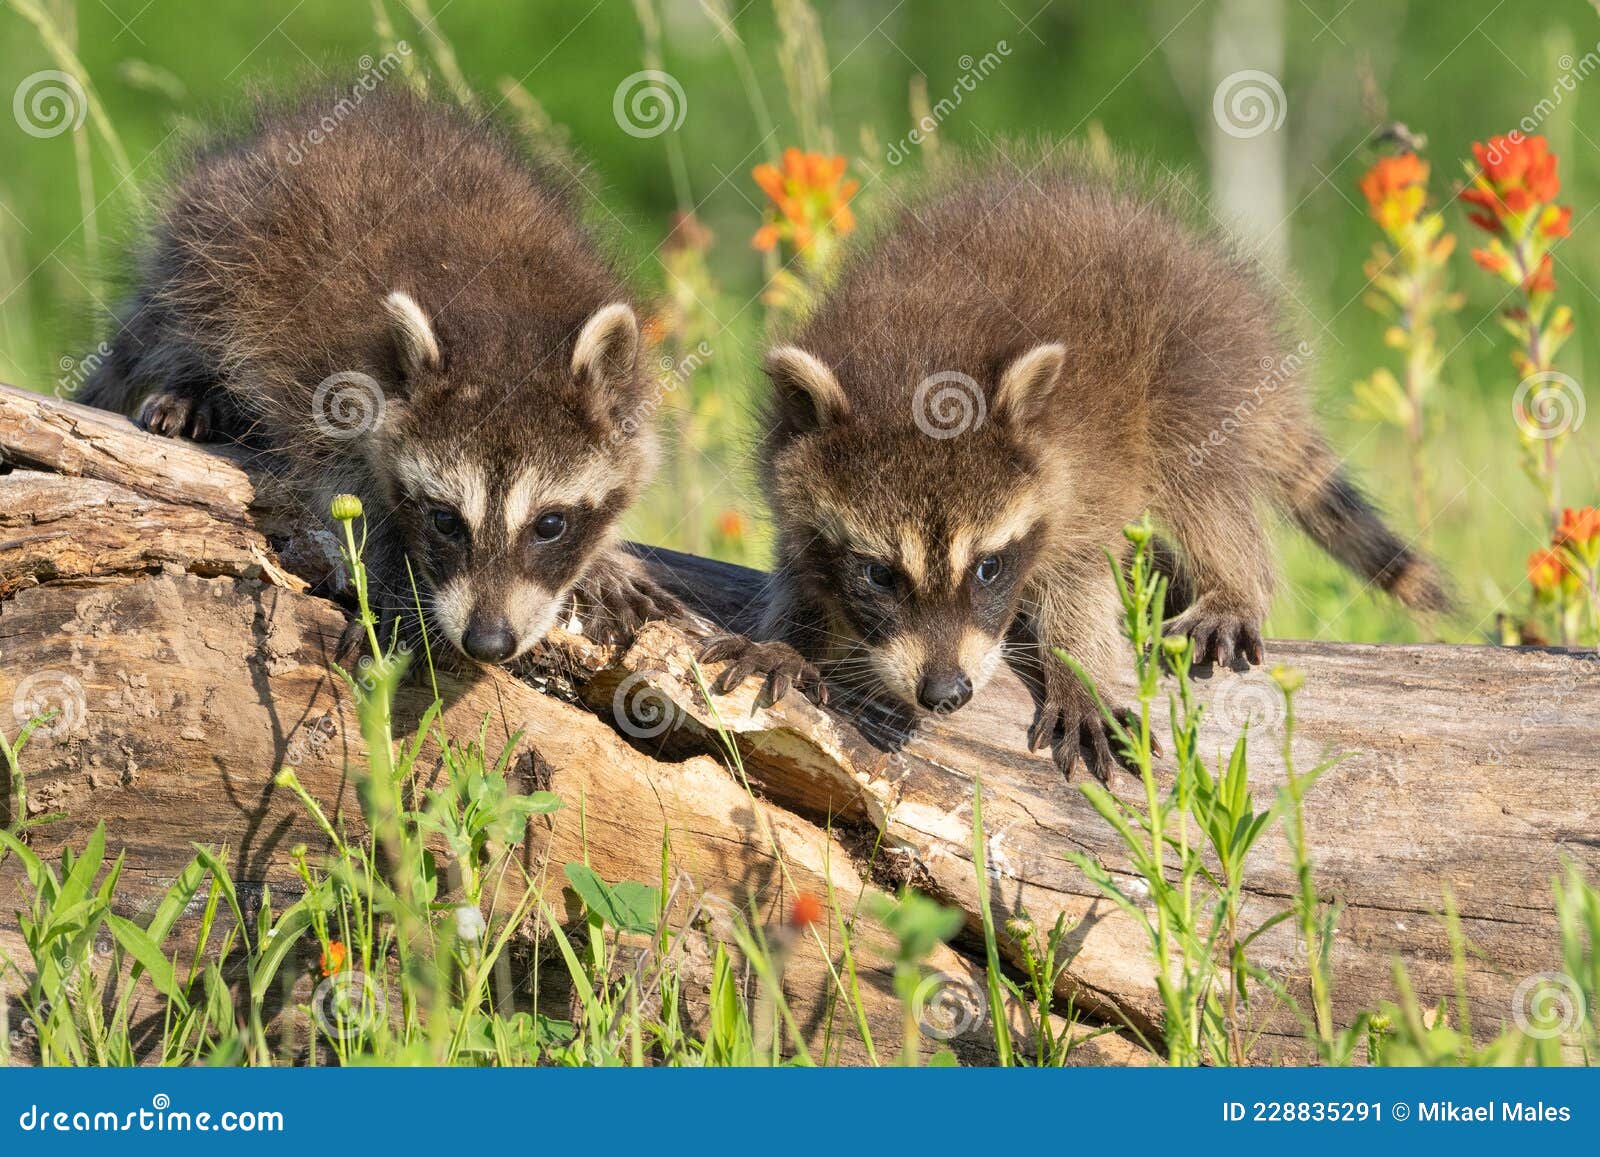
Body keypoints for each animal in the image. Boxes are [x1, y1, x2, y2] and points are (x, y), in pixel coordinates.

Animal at [79, 91, 677, 663]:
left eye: (550, 524)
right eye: (445, 520)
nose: (488, 642)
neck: (502, 328)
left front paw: (605, 558)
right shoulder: (324, 377)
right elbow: (343, 486)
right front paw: (393, 571)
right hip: (214, 237)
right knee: (173, 319)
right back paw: (192, 384)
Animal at [705, 153, 1449, 781]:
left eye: (989, 567)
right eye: (880, 574)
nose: (945, 693)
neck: (917, 360)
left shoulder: (1084, 460)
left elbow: (1082, 575)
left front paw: (1077, 669)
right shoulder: (789, 469)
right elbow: (800, 569)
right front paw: (792, 637)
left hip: (1196, 365)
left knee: (1203, 480)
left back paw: (1231, 582)